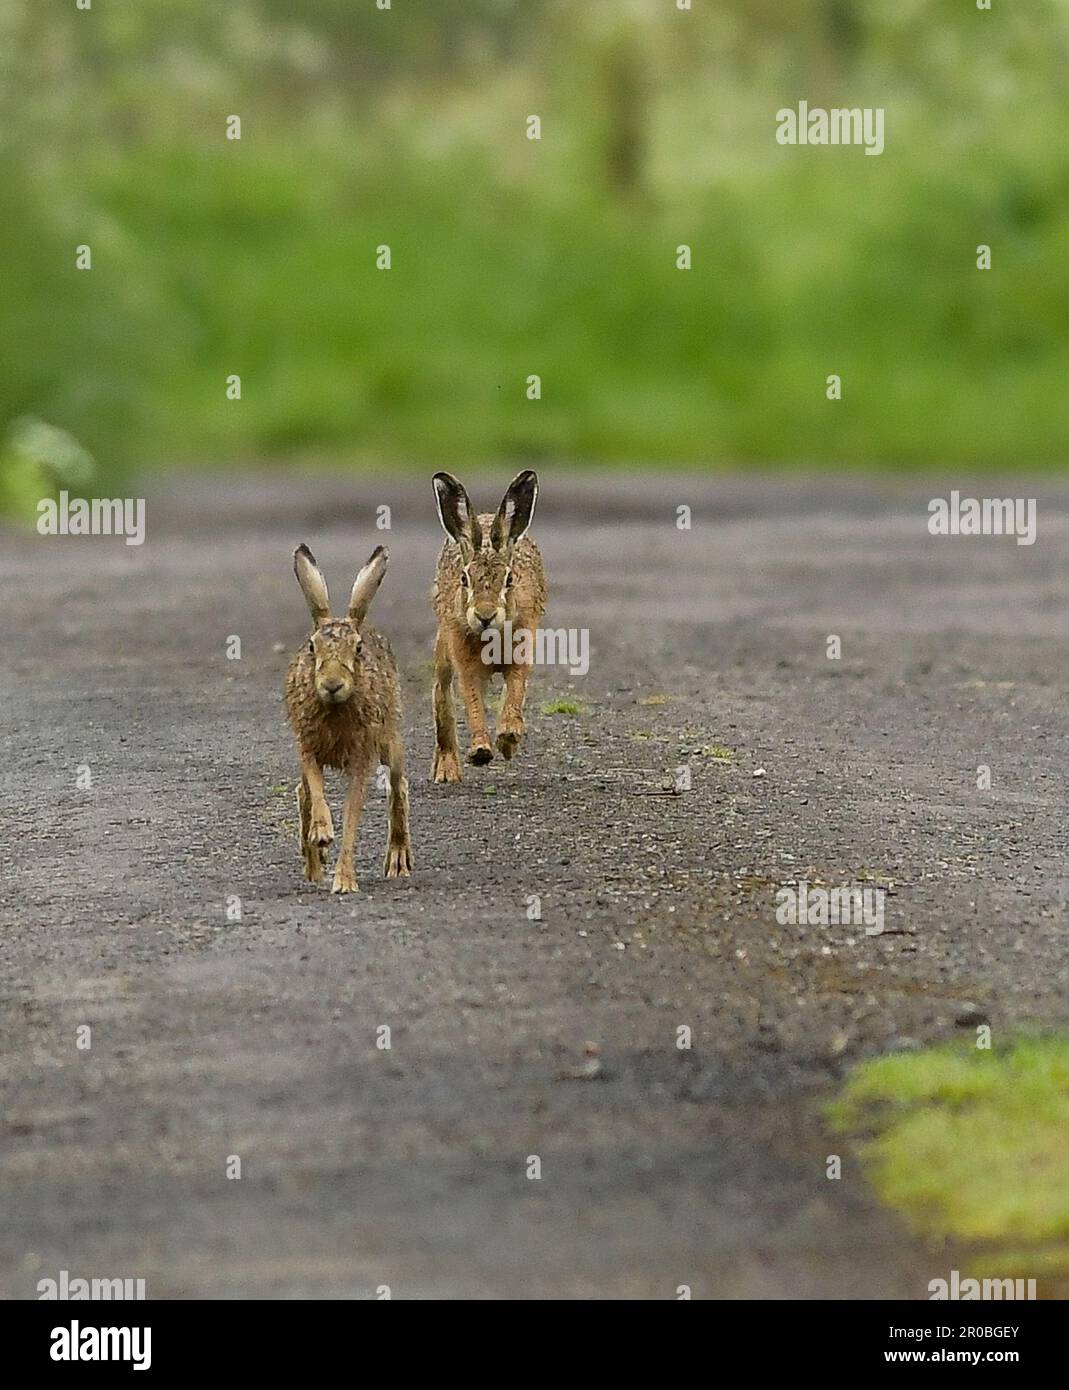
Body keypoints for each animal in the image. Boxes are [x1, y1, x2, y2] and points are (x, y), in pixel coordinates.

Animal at [284, 542, 413, 893]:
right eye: (311, 647)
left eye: (357, 649)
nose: (332, 685)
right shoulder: (307, 748)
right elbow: (315, 790)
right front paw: (321, 834)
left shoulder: (361, 758)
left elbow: (352, 817)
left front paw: (344, 881)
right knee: (302, 793)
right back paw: (313, 861)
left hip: (390, 742)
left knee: (399, 787)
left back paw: (398, 860)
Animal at [430, 470, 545, 782]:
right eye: (464, 579)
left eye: (509, 579)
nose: (485, 615)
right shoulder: (464, 659)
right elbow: (472, 703)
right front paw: (481, 751)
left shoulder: (522, 652)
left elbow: (515, 691)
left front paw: (508, 737)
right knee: (441, 697)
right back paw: (446, 769)